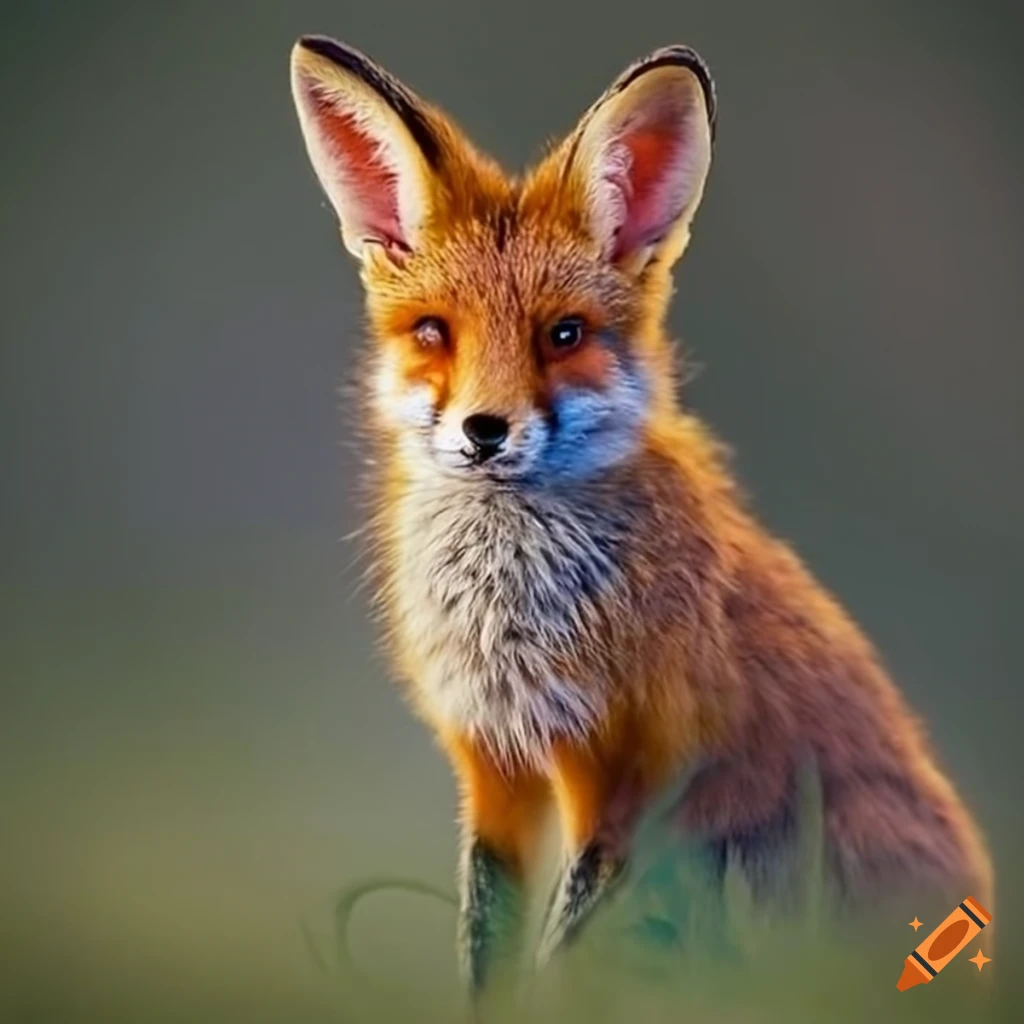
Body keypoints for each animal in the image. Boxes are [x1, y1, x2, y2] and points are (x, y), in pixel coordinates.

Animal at [288, 35, 993, 995]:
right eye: (435, 332)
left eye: (563, 336)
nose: (483, 430)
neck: (515, 622)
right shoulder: (493, 768)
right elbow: (490, 965)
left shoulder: (623, 779)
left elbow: (562, 967)